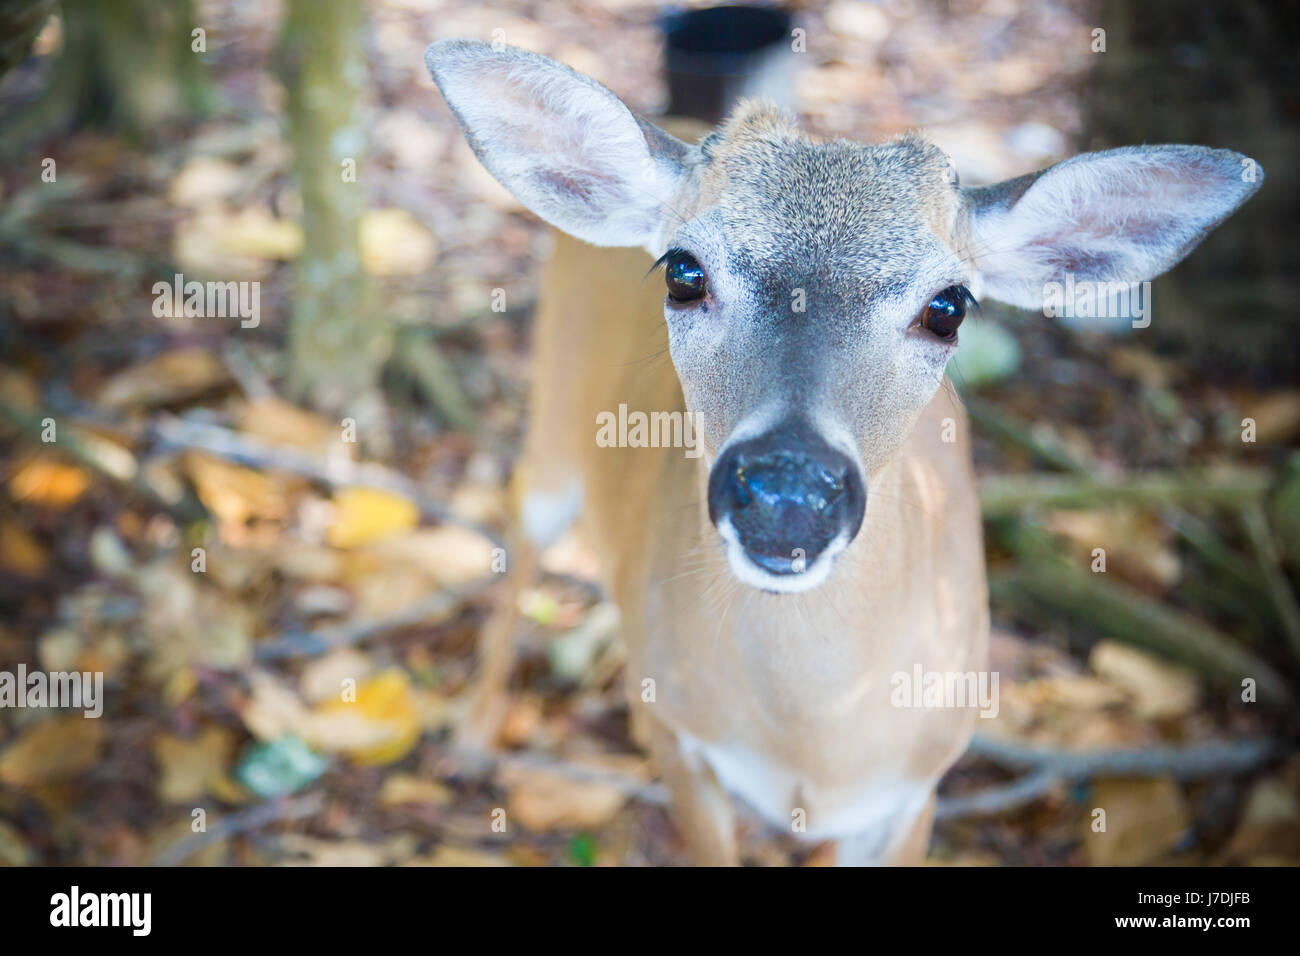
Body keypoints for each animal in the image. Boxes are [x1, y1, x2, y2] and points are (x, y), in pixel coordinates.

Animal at [424, 39, 1263, 865]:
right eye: (685, 271)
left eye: (948, 307)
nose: (787, 494)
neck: (811, 741)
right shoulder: (693, 756)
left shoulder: (912, 791)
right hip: (555, 407)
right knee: (525, 525)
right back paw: (470, 737)